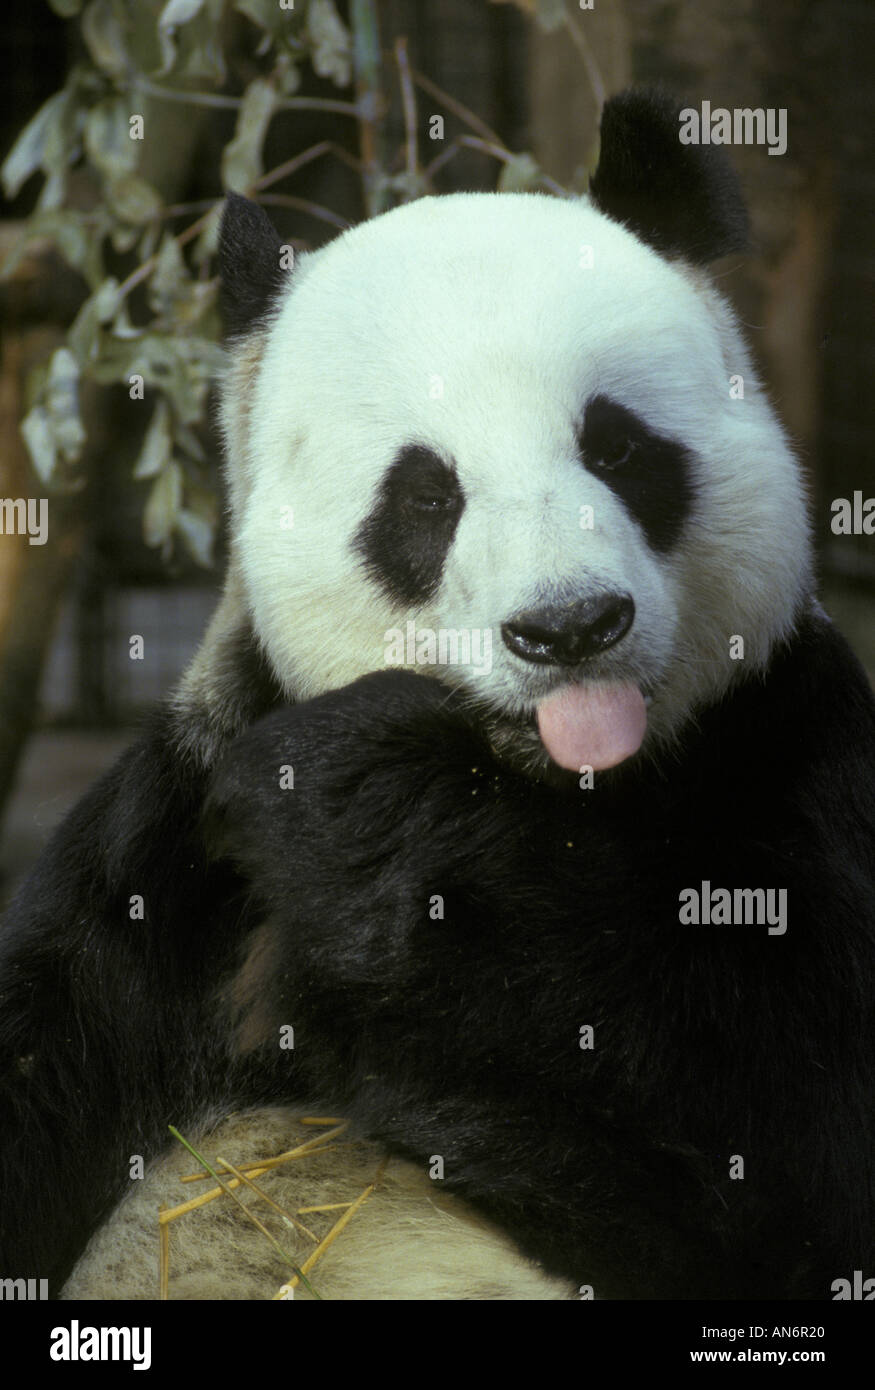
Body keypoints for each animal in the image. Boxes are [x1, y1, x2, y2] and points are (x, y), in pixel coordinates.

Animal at [1, 87, 874, 1302]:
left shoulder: (787, 755)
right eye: (425, 496)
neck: (546, 793)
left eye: (617, 447)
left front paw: (362, 802)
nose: (569, 627)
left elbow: (794, 1157)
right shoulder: (157, 868)